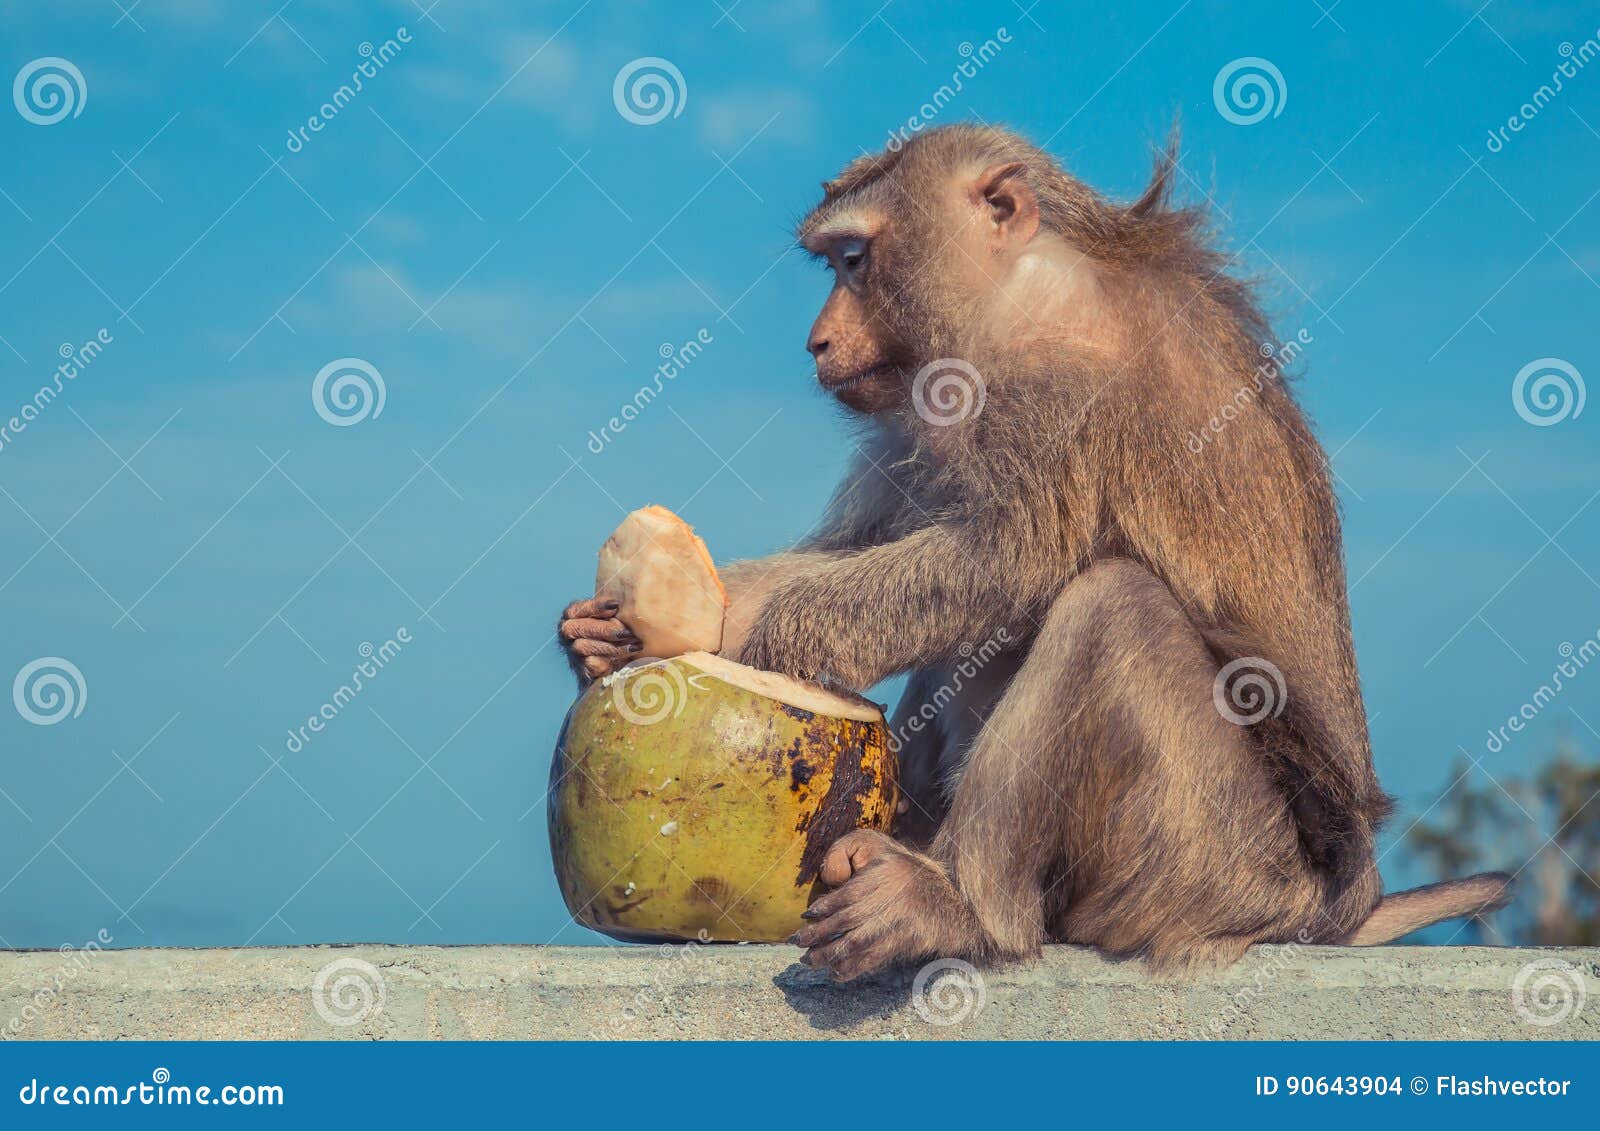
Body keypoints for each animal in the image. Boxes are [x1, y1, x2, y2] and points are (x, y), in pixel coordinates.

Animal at [559, 123, 1509, 978]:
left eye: (855, 260)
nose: (818, 341)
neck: (1022, 288)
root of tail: (1330, 906)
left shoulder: (1058, 383)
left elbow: (999, 560)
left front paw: (770, 640)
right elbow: (871, 544)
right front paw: (614, 632)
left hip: (1219, 867)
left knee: (1113, 606)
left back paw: (956, 902)